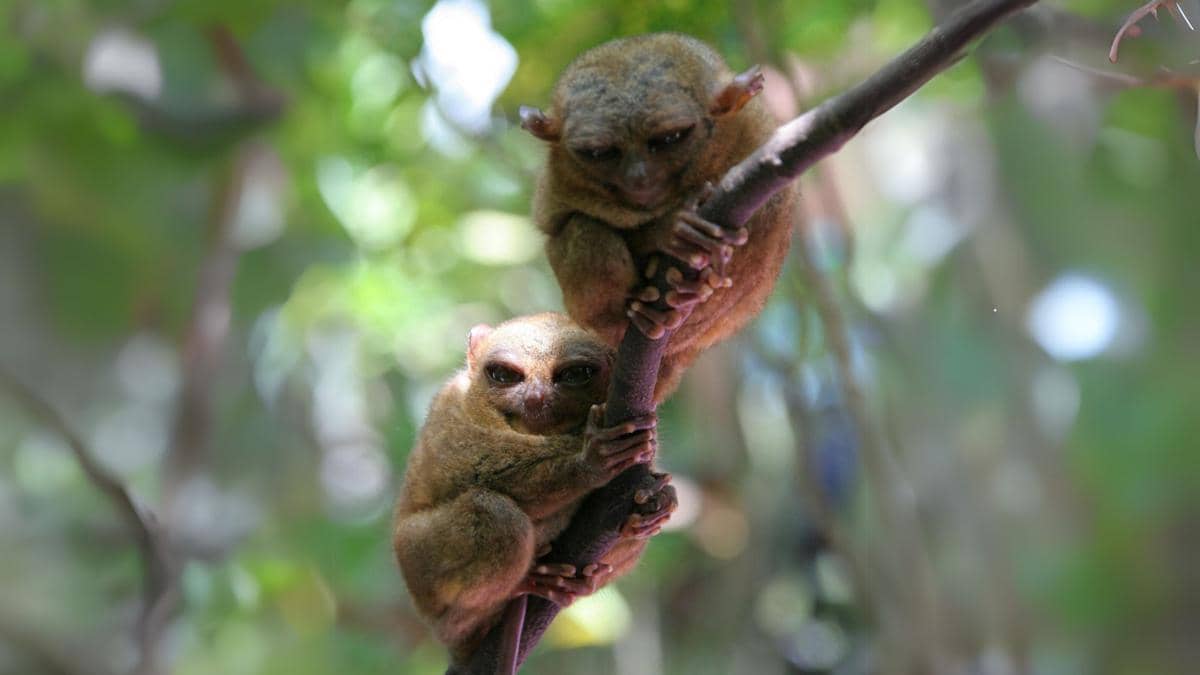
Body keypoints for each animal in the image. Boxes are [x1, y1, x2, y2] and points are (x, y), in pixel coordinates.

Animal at [392, 313, 678, 664]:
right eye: (504, 375)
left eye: (576, 374)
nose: (536, 398)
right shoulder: (453, 412)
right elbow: (478, 467)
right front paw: (594, 458)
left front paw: (655, 504)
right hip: (416, 561)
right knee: (496, 515)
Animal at [520, 32, 796, 402]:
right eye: (599, 153)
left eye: (669, 138)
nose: (638, 178)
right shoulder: (556, 186)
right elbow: (558, 222)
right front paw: (672, 229)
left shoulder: (756, 141)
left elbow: (767, 213)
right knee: (583, 231)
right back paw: (621, 319)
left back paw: (694, 288)